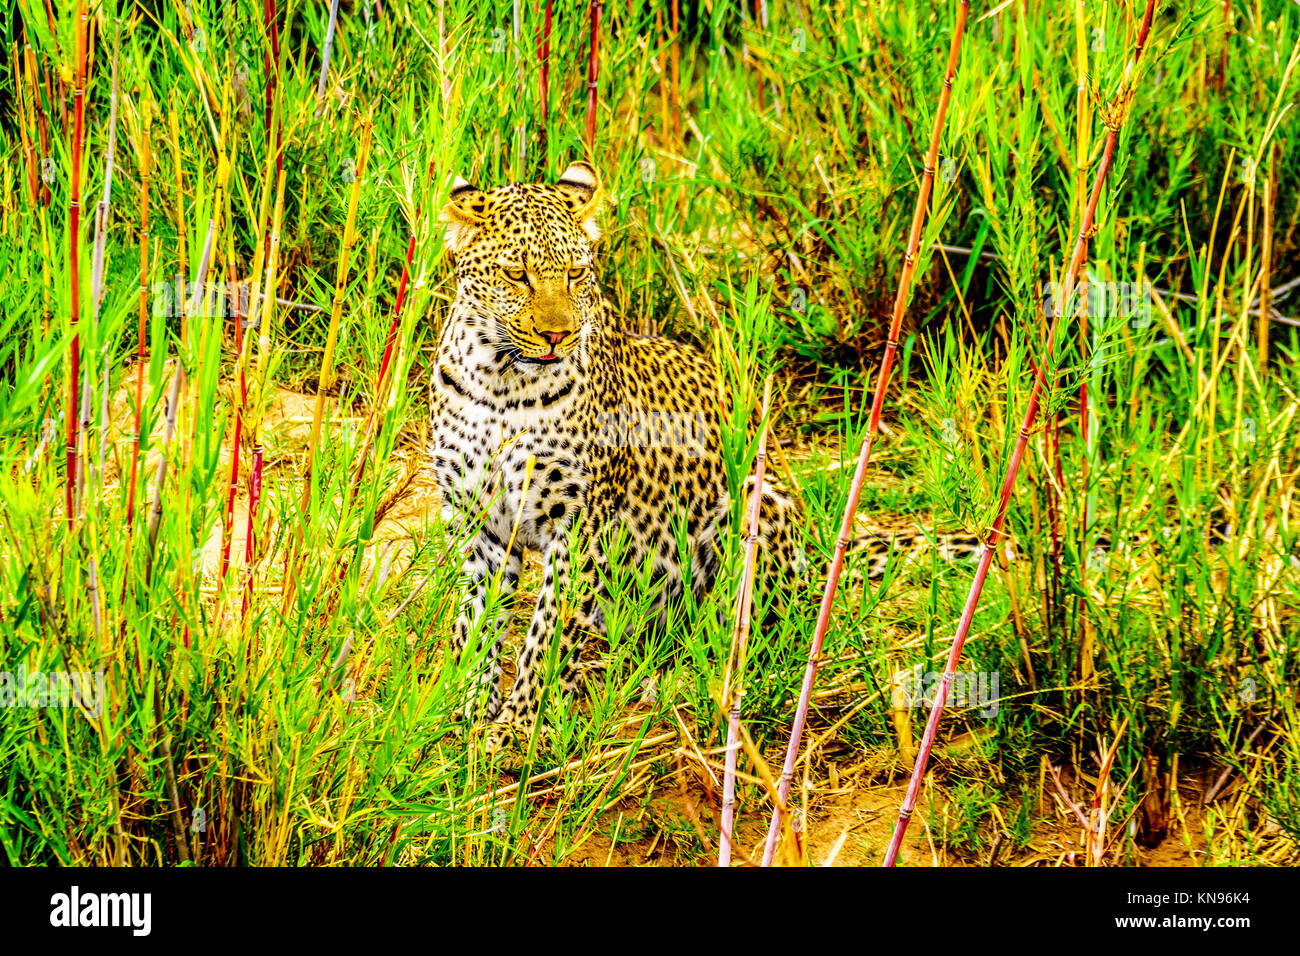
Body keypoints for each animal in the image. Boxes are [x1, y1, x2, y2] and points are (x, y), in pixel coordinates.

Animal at [428, 161, 803, 755]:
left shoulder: (576, 522)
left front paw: (519, 725)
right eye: (517, 275)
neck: (500, 382)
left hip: (757, 501)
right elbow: (475, 622)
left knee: (756, 635)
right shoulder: (476, 524)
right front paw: (463, 708)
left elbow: (546, 630)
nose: (557, 334)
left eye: (576, 274)